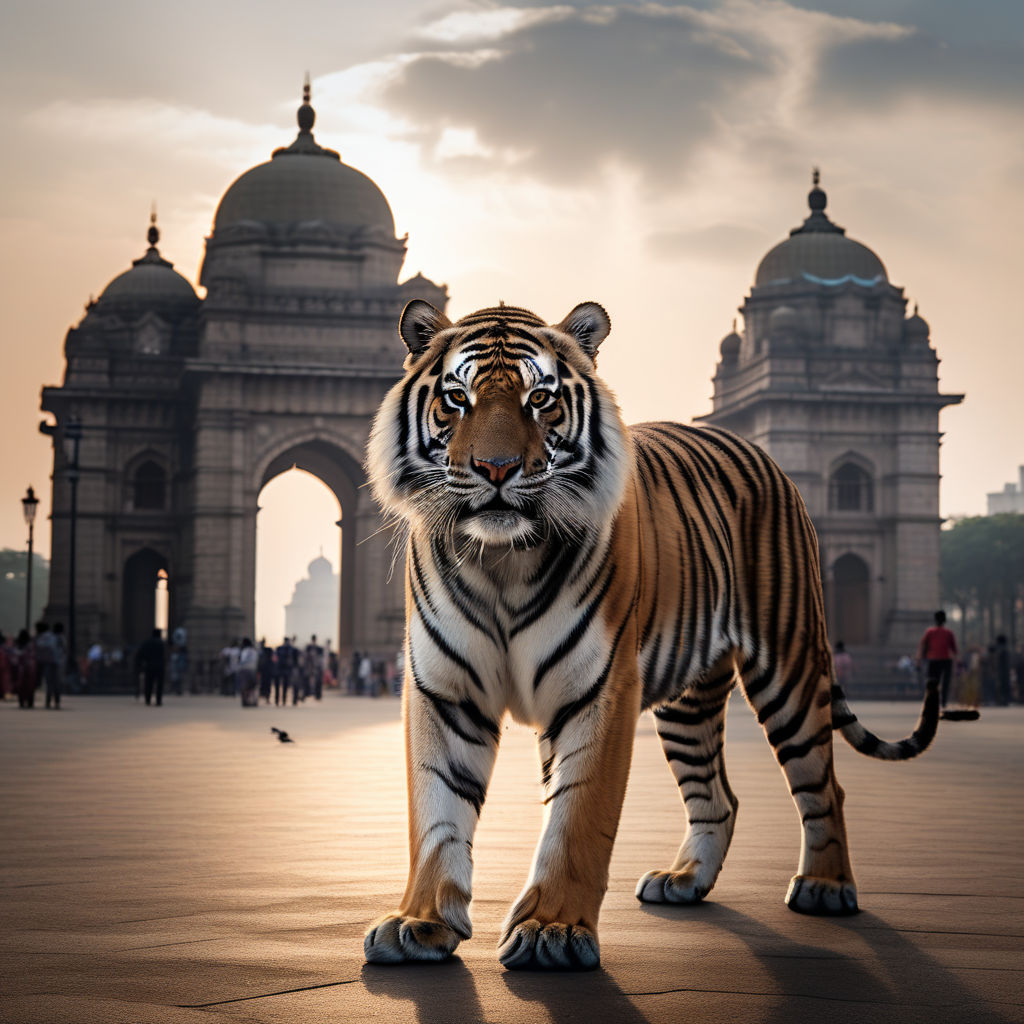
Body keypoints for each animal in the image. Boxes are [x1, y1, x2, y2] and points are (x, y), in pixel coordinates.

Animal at [363, 299, 940, 971]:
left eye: (540, 400)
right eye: (457, 398)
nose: (496, 469)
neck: (502, 561)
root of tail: (754, 448)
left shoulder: (597, 689)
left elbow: (577, 816)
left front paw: (553, 931)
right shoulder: (444, 690)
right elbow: (437, 812)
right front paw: (420, 923)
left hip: (789, 671)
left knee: (825, 784)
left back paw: (825, 887)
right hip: (687, 705)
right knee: (719, 797)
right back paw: (684, 880)